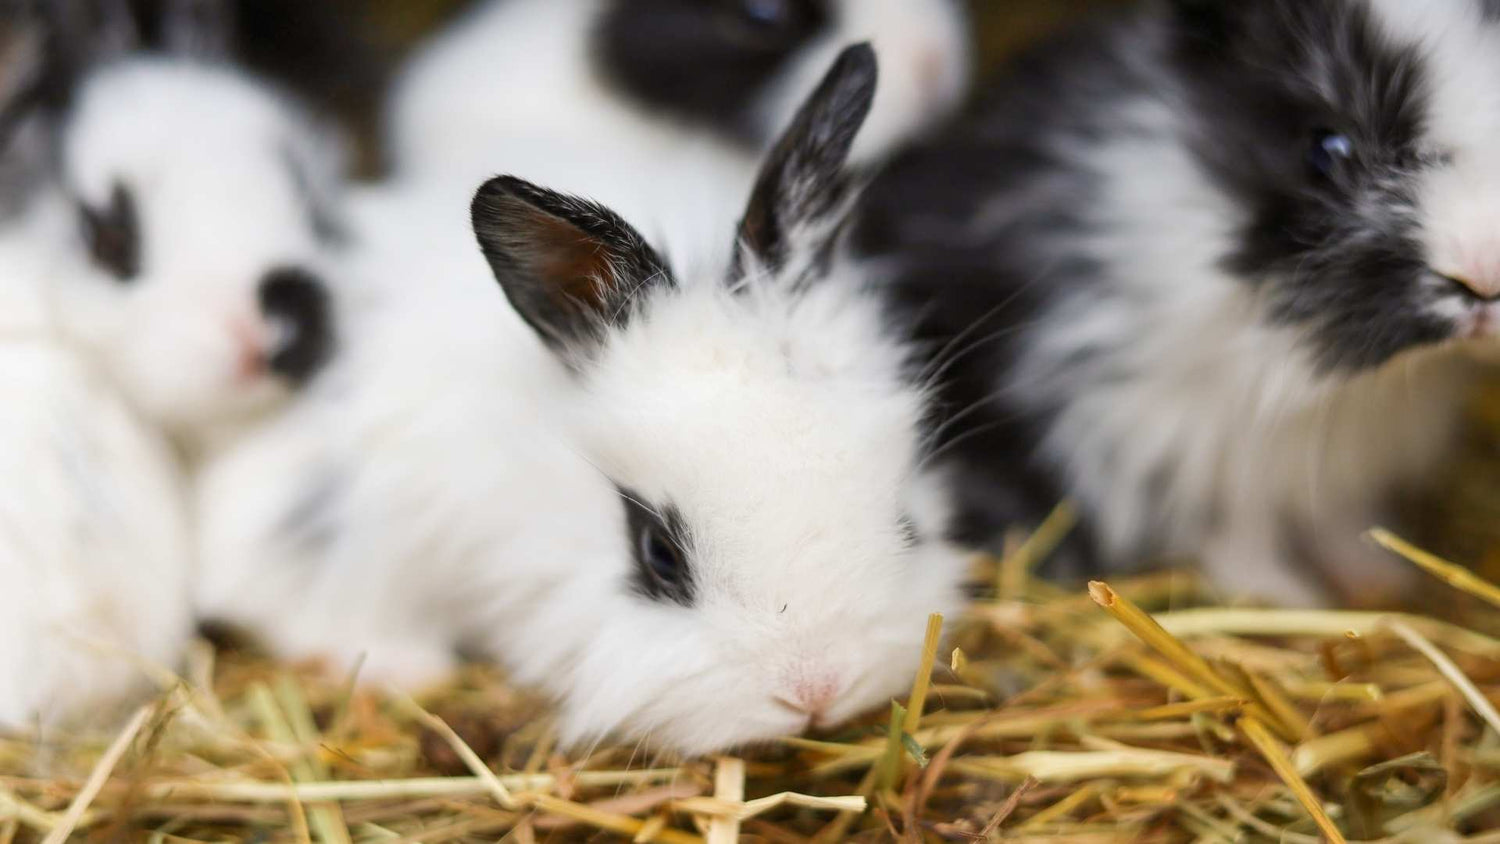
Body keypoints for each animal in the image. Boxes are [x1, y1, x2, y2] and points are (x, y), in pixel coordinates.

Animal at [853, 0, 1500, 608]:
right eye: (1326, 150)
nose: (1482, 273)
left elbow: (1344, 521)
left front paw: (1378, 581)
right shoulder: (1182, 446)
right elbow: (1239, 534)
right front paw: (1284, 597)